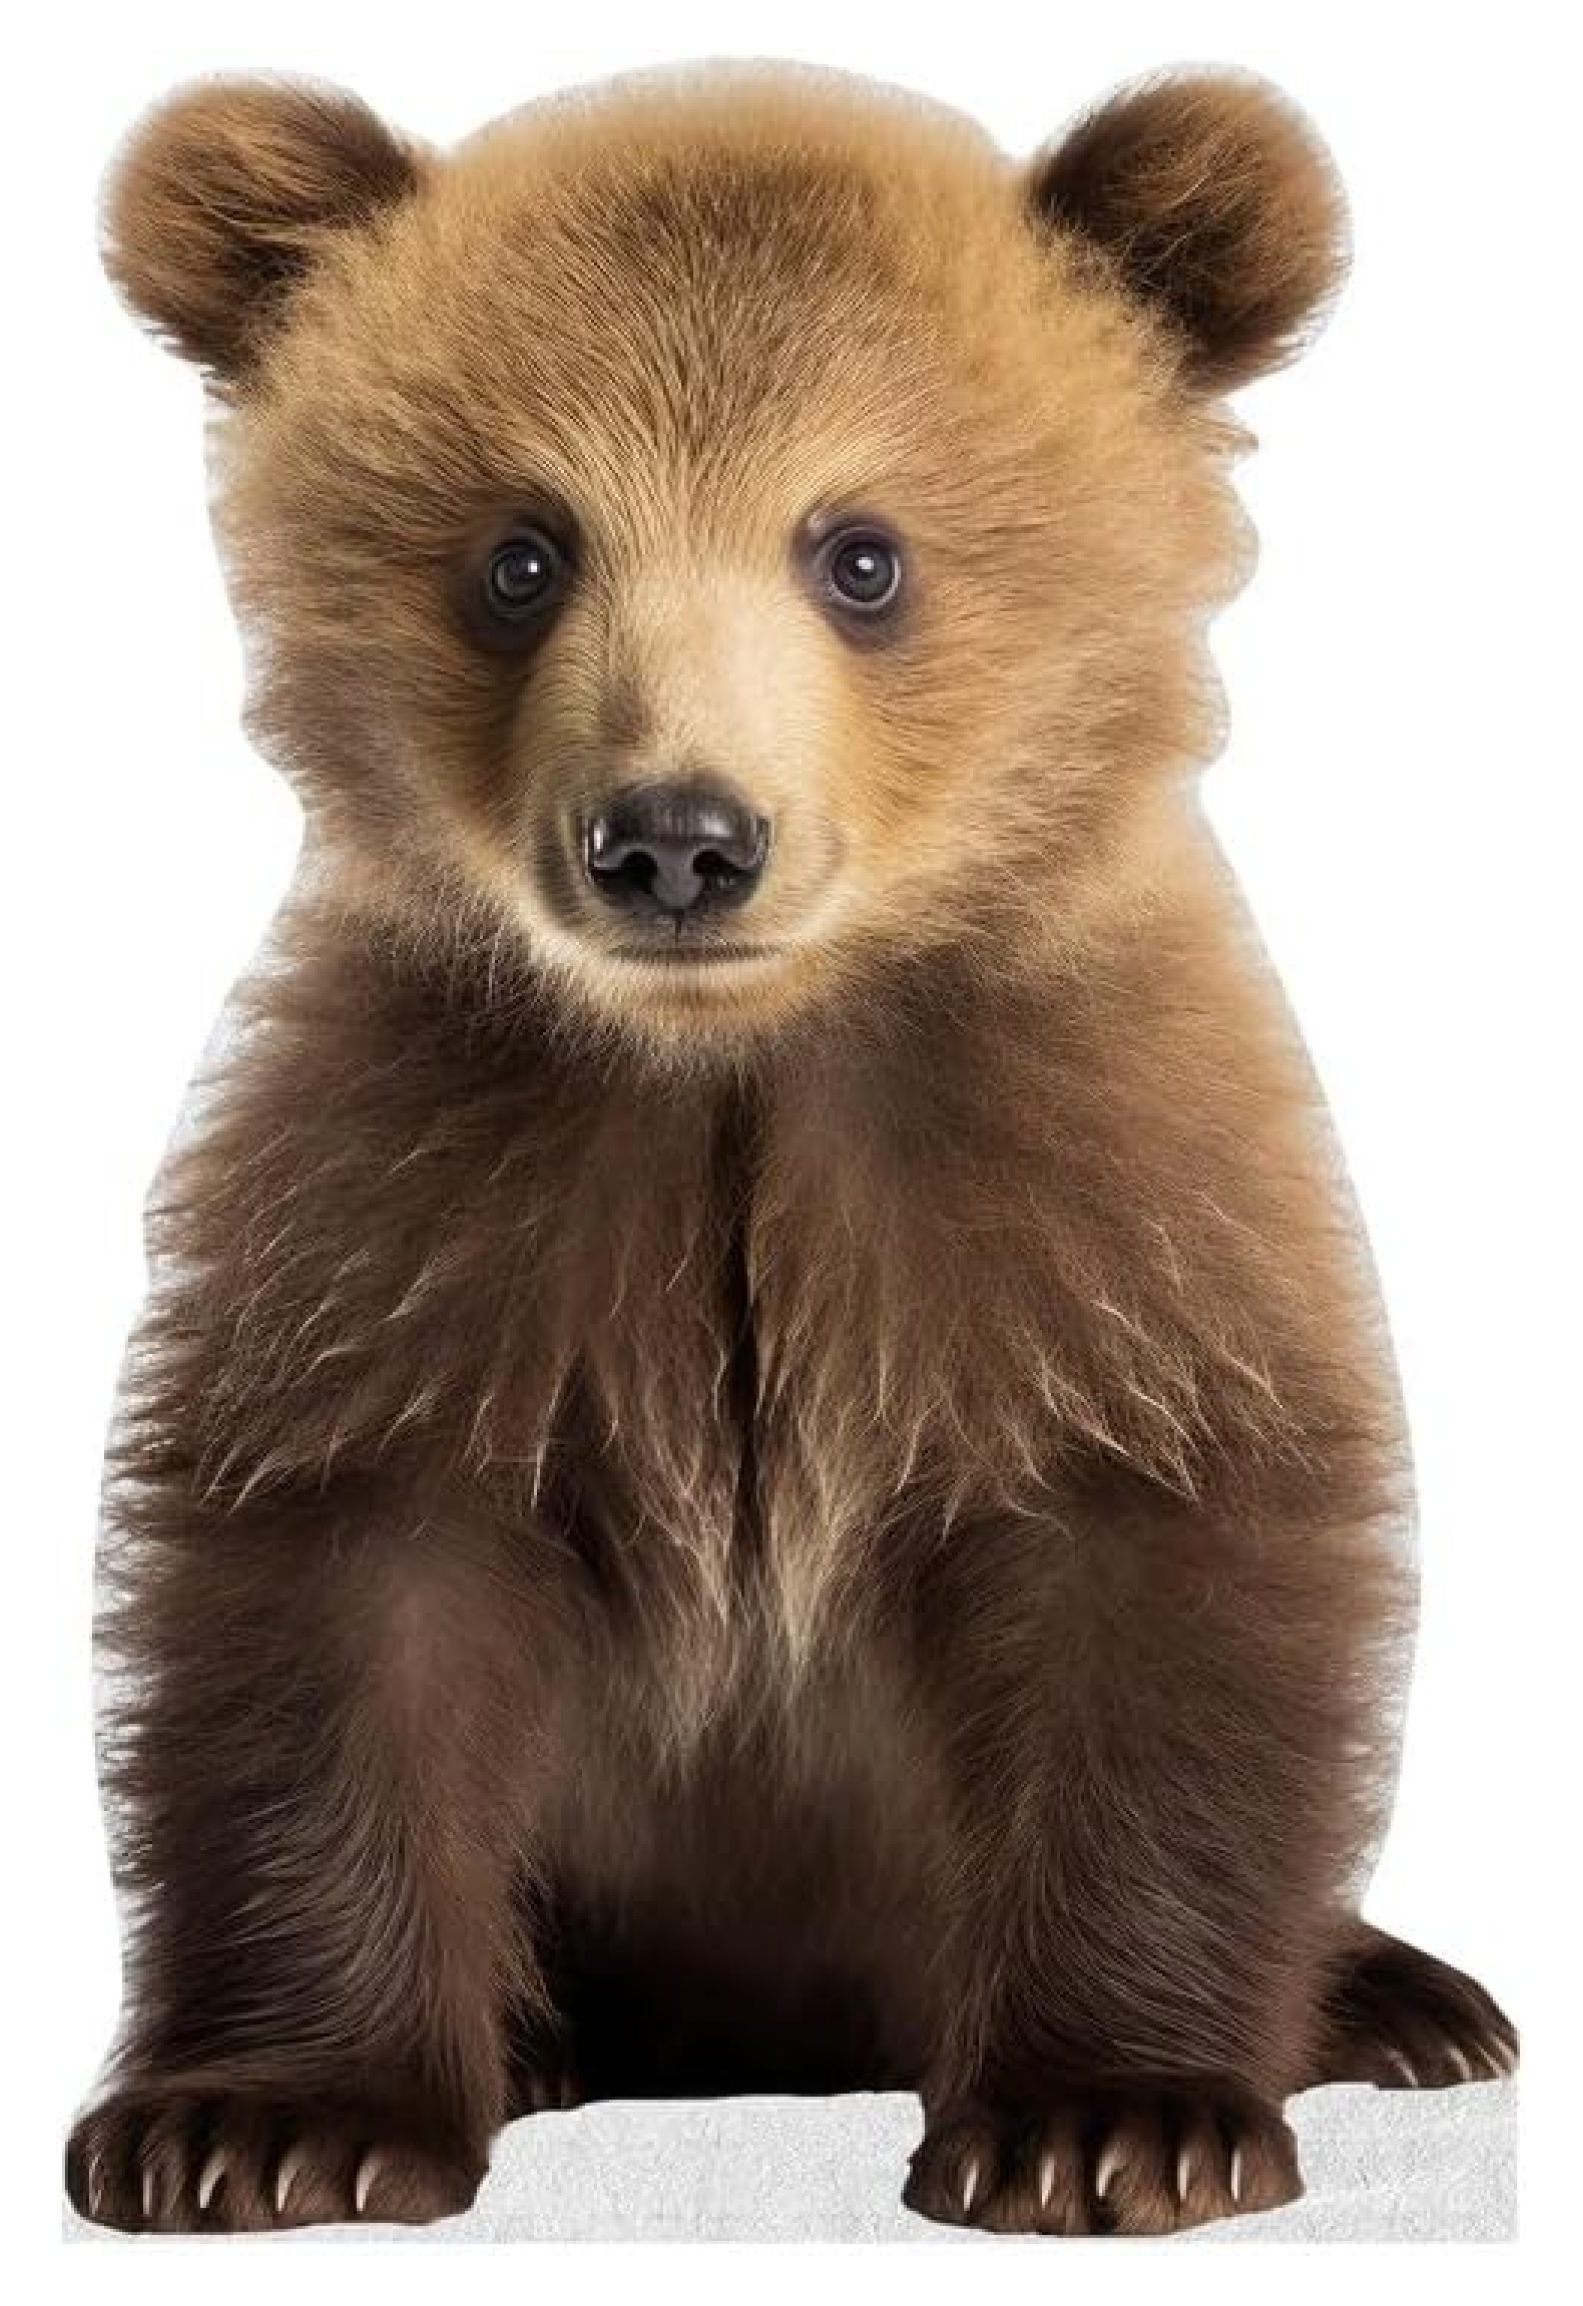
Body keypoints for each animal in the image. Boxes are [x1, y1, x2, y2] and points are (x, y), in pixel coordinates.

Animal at [68, 60, 1516, 2237]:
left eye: (858, 552)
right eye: (522, 550)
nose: (675, 836)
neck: (737, 1064)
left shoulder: (1075, 1209)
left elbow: (1158, 1563)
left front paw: (1112, 2118)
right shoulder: (431, 1196)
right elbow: (333, 1576)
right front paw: (261, 2120)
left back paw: (1404, 1999)